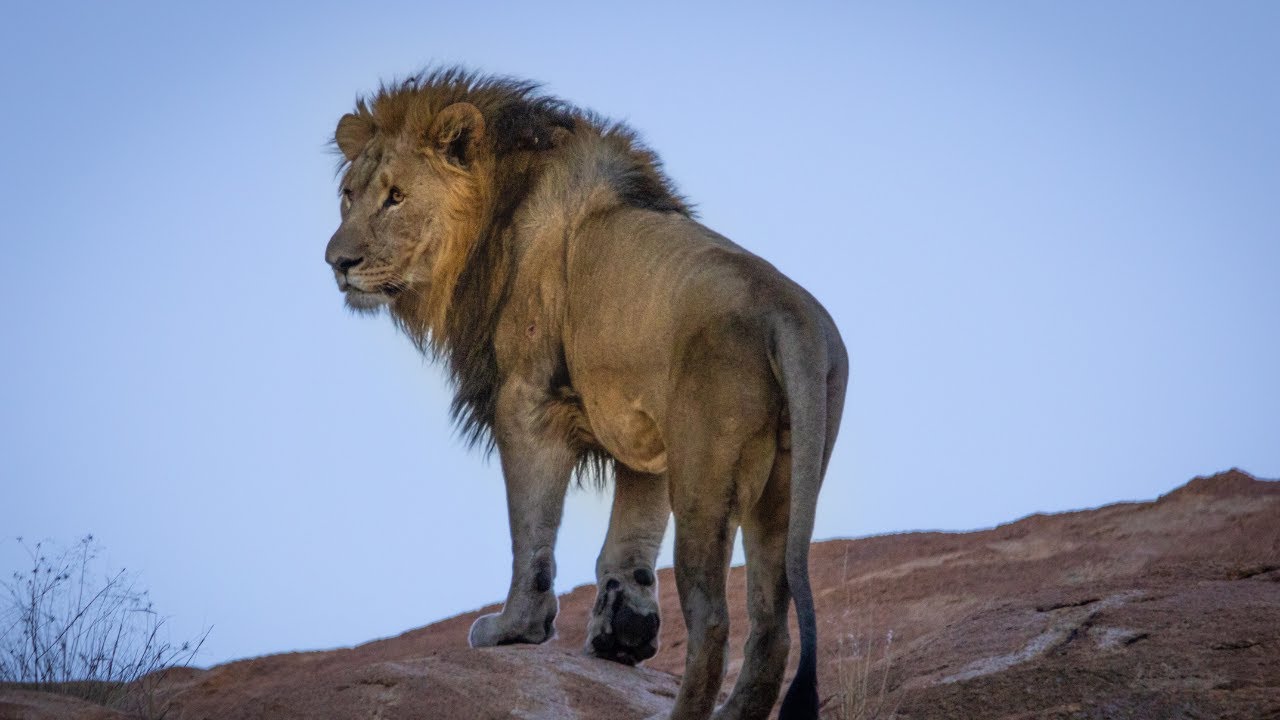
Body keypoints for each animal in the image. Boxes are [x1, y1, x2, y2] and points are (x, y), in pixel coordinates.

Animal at [323, 68, 847, 720]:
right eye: (348, 195)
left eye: (396, 196)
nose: (337, 262)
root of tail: (789, 315)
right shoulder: (645, 434)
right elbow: (629, 544)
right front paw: (622, 636)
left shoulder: (527, 403)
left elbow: (531, 534)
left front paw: (514, 628)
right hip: (785, 486)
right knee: (771, 622)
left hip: (706, 478)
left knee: (714, 622)